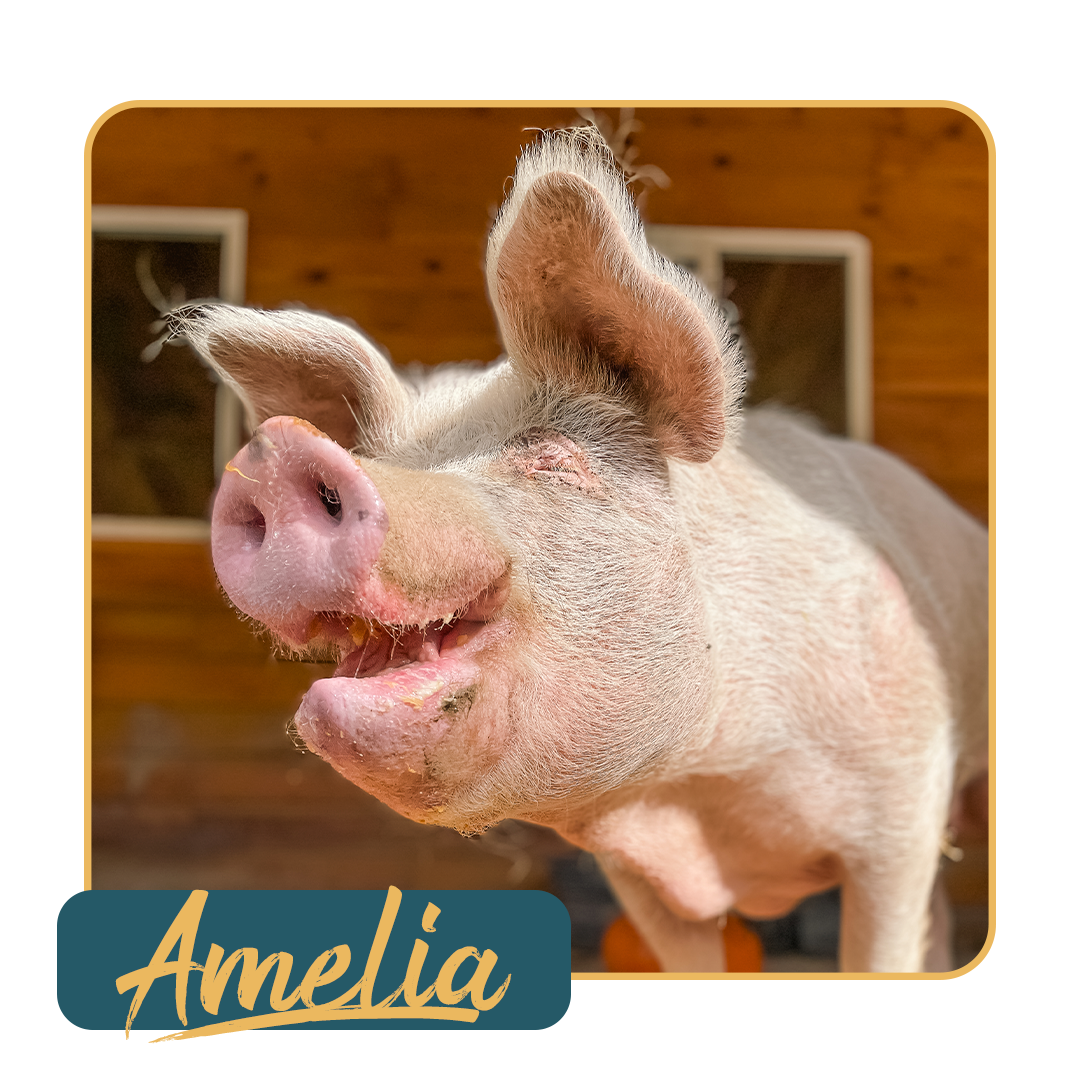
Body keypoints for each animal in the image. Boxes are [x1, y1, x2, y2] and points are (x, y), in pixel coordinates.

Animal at [167, 127, 988, 973]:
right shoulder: (637, 873)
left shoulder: (902, 807)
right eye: (393, 461)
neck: (702, 795)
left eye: (554, 458)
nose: (275, 455)